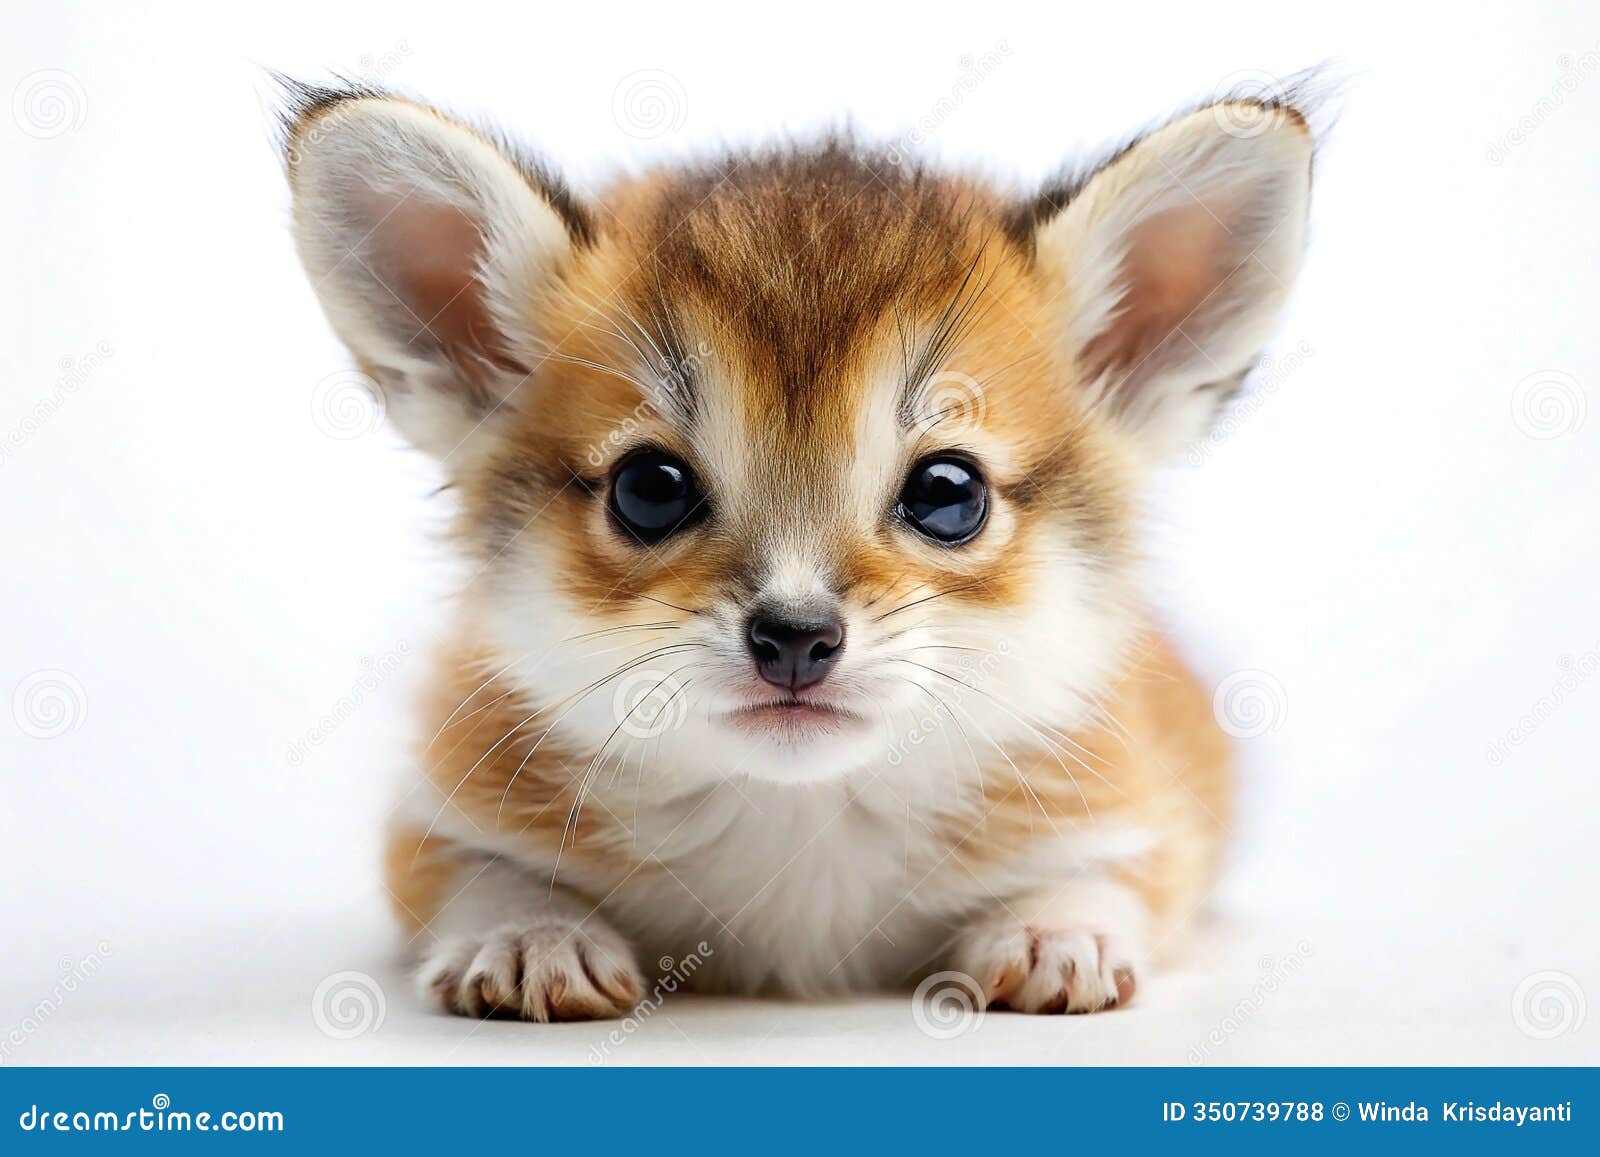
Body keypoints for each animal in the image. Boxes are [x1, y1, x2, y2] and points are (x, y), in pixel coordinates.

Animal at [279, 77, 1313, 1020]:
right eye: (649, 489)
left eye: (949, 495)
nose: (795, 636)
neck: (802, 814)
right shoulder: (435, 817)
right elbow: (478, 872)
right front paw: (532, 935)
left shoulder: (1141, 814)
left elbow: (1111, 874)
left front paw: (1056, 932)